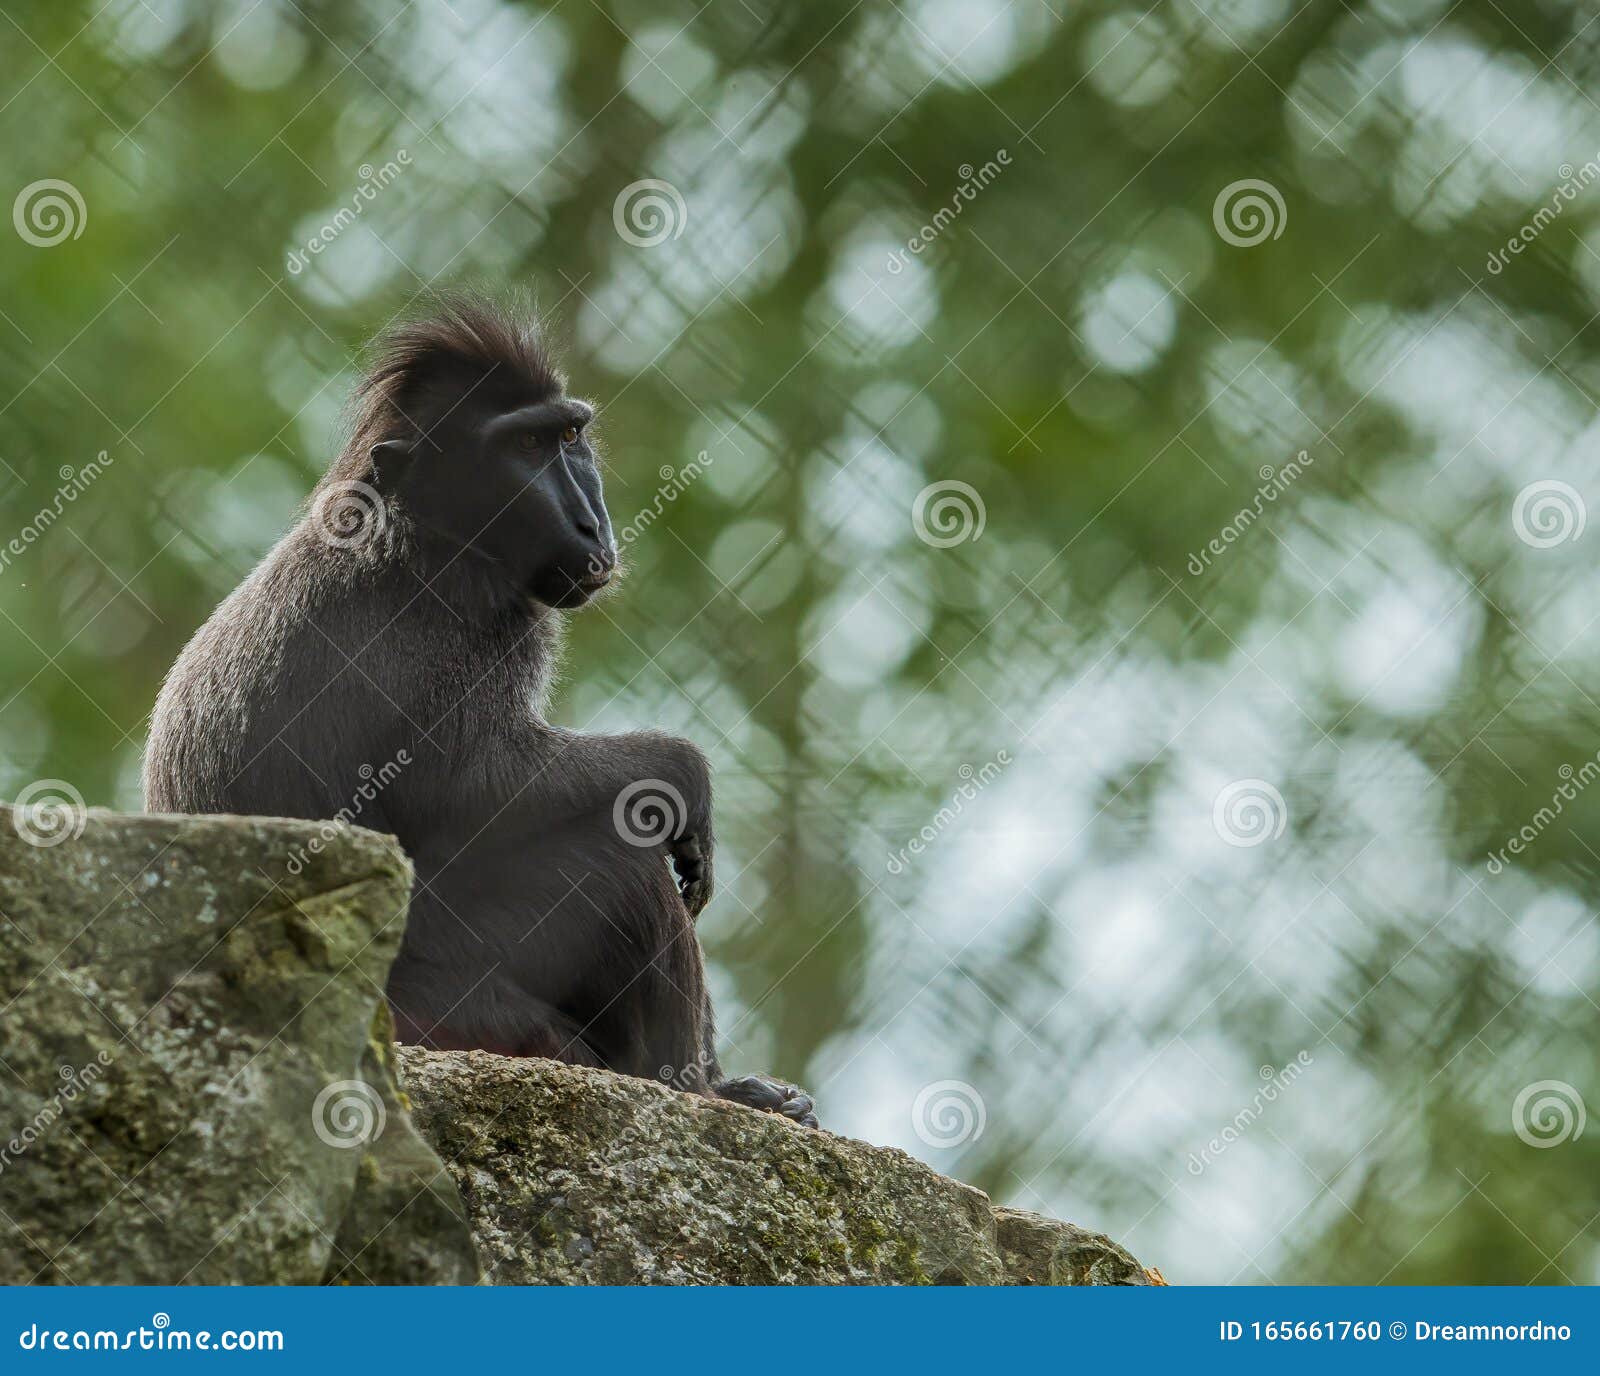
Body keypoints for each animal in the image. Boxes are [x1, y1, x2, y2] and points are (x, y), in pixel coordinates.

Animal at [142, 293, 817, 1129]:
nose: (592, 524)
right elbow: (473, 785)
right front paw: (681, 772)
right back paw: (686, 1085)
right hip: (453, 1009)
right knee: (612, 855)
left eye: (568, 437)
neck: (418, 522)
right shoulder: (452, 619)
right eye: (523, 446)